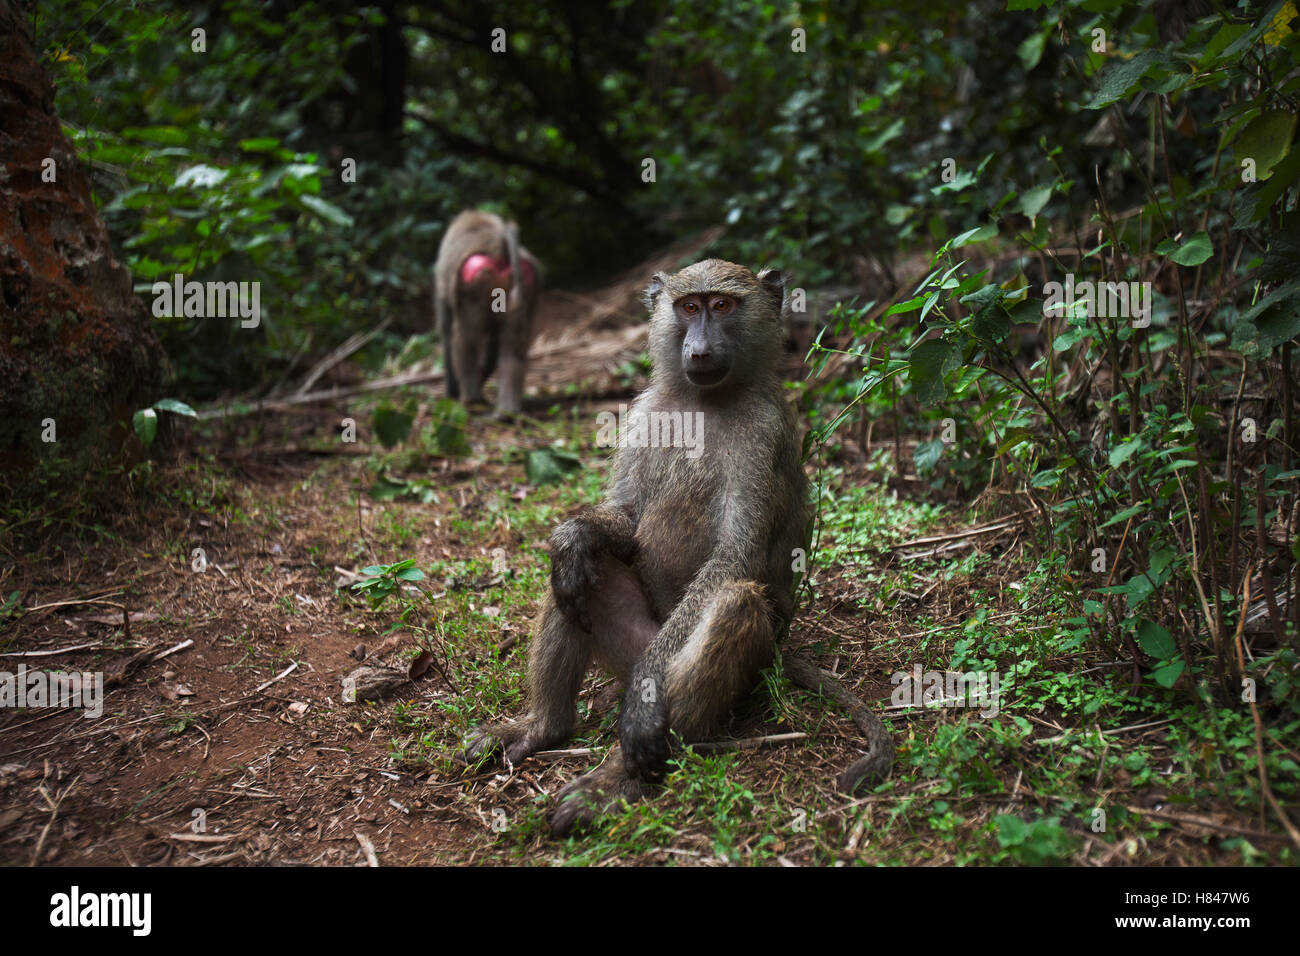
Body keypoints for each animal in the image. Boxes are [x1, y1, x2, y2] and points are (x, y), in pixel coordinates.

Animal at [432, 210, 541, 416]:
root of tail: (501, 241)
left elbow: (446, 332)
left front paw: (452, 392)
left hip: (478, 282)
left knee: (465, 339)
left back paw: (471, 400)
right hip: (519, 285)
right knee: (513, 347)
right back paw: (506, 412)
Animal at [462, 259, 892, 835]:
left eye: (722, 306)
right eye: (688, 307)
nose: (701, 351)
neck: (702, 400)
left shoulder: (764, 434)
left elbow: (734, 557)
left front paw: (638, 719)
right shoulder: (644, 411)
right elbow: (622, 520)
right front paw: (574, 535)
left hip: (734, 663)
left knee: (735, 604)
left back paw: (613, 781)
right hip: (627, 641)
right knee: (575, 581)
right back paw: (542, 728)